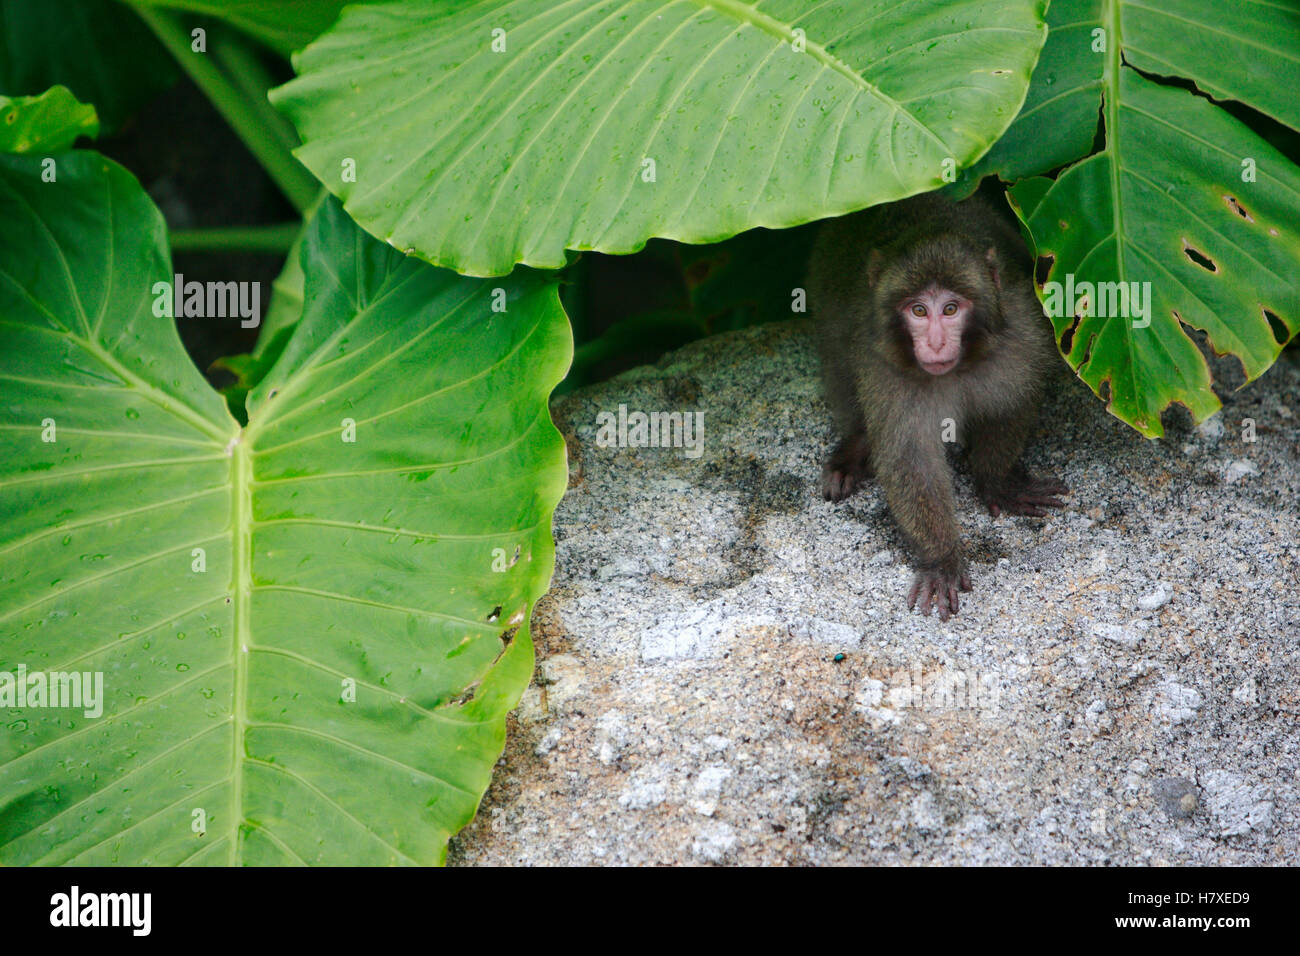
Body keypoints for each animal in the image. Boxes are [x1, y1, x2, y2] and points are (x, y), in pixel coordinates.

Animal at [807, 191, 1068, 620]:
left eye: (950, 309)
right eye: (918, 310)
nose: (934, 343)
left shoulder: (1020, 338)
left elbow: (1012, 403)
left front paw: (998, 481)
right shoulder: (887, 370)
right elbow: (910, 457)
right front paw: (941, 559)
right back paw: (854, 449)